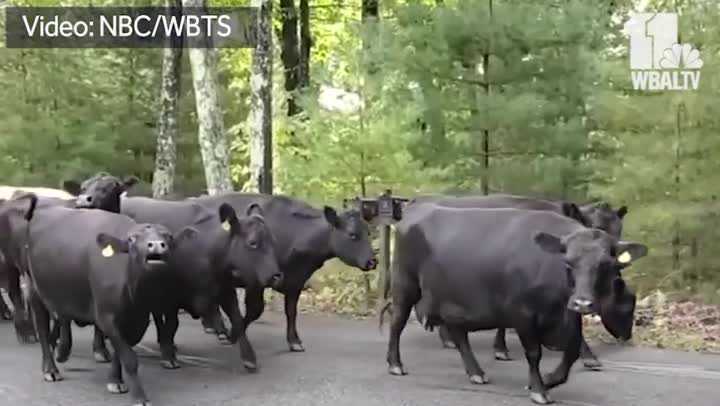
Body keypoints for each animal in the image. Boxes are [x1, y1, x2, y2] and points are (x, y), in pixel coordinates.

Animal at [19, 199, 197, 405]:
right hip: (33, 288)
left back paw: (62, 352)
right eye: (132, 239)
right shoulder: (106, 317)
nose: (156, 245)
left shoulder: (138, 320)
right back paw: (50, 369)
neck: (134, 296)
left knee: (63, 317)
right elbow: (129, 357)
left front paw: (115, 380)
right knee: (41, 327)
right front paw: (139, 396)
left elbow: (119, 353)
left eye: (168, 237)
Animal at [191, 193, 377, 352]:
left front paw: (294, 341)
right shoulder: (257, 280)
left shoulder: (296, 282)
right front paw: (233, 335)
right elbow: (255, 309)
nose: (372, 261)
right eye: (352, 235)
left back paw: (211, 326)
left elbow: (291, 311)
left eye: (368, 232)